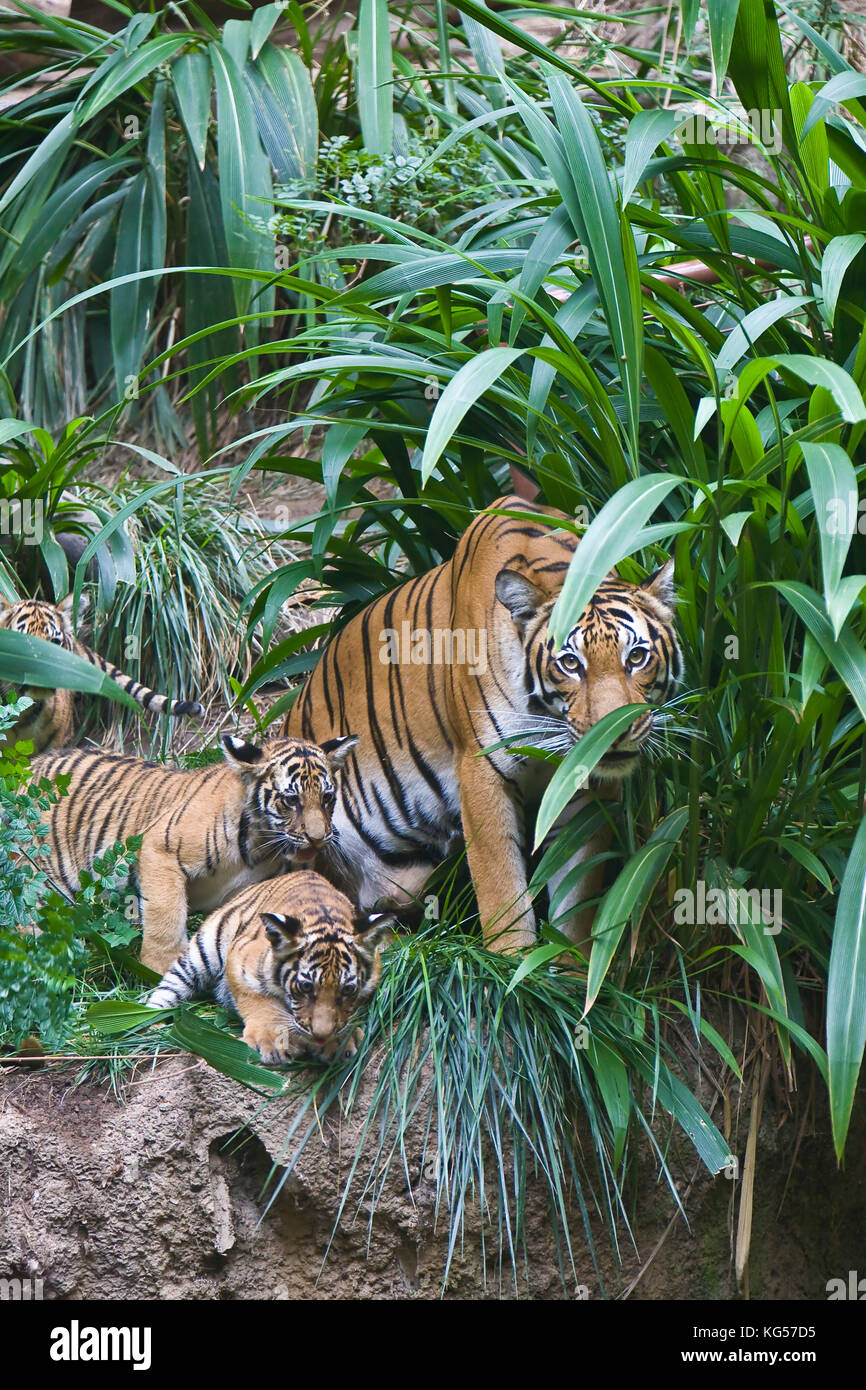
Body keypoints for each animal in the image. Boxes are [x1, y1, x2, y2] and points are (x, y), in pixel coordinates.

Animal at [29, 732, 358, 974]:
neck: (259, 844)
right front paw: (159, 969)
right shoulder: (159, 846)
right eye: (291, 800)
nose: (318, 839)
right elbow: (165, 912)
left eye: (327, 798)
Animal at [146, 870, 393, 1062]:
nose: (321, 1036)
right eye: (305, 987)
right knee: (167, 988)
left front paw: (340, 1042)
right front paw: (272, 1042)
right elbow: (258, 999)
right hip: (203, 951)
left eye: (348, 990)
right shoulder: (240, 958)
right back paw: (151, 1024)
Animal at [284, 495, 682, 954]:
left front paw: (568, 963)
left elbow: (577, 893)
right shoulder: (481, 770)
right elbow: (502, 891)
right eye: (570, 664)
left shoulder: (582, 787)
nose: (612, 734)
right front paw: (516, 963)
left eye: (636, 657)